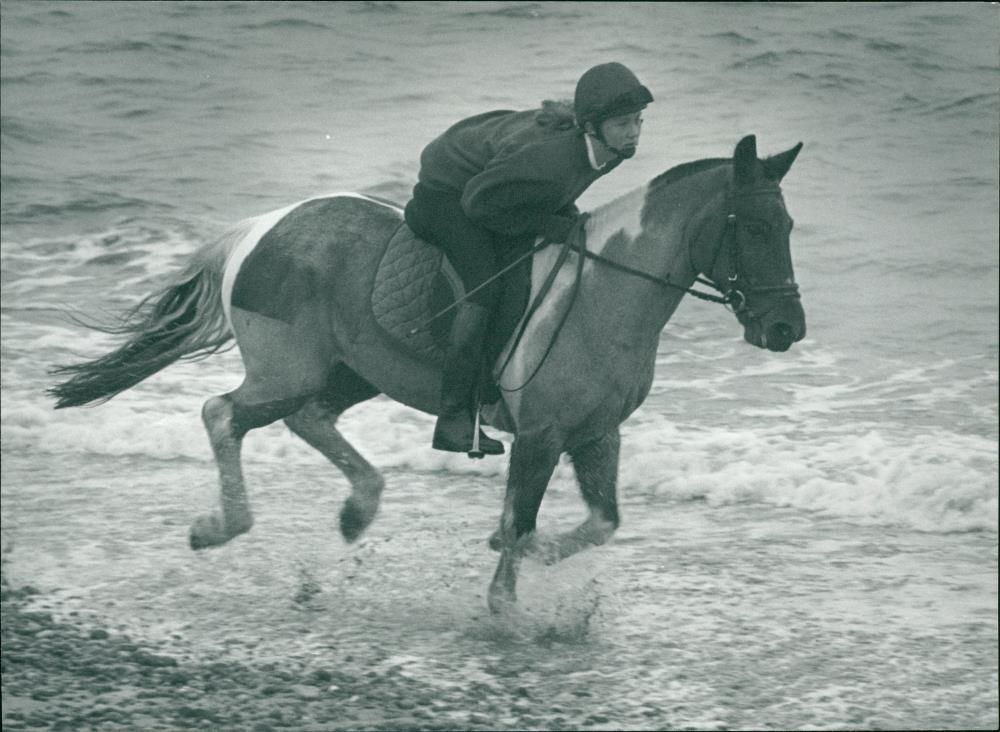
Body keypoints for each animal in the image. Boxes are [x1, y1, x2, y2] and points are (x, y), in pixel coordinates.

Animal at [49, 134, 805, 613]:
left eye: (790, 226)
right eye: (751, 226)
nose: (786, 329)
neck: (606, 291)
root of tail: (261, 228)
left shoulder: (596, 435)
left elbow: (599, 524)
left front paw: (525, 554)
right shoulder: (541, 437)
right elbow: (523, 527)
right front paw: (507, 606)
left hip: (353, 370)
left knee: (307, 419)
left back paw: (358, 509)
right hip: (289, 370)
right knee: (224, 414)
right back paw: (221, 526)